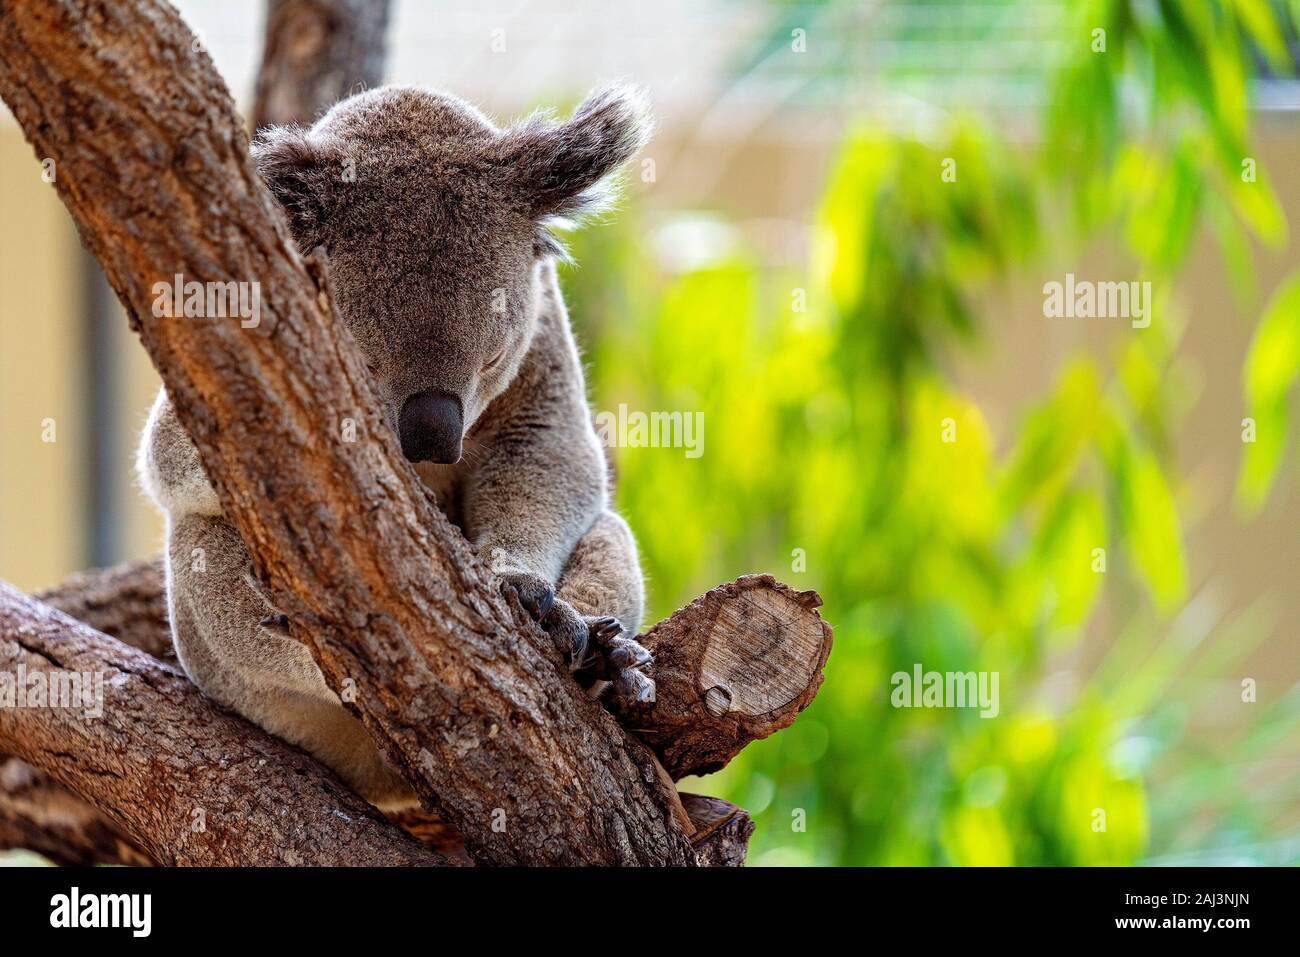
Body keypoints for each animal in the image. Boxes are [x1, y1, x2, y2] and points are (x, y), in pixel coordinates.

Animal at [137, 84, 654, 808]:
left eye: (491, 358)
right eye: (364, 360)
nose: (431, 438)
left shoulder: (543, 337)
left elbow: (544, 457)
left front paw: (520, 586)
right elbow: (171, 453)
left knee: (609, 539)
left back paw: (598, 653)